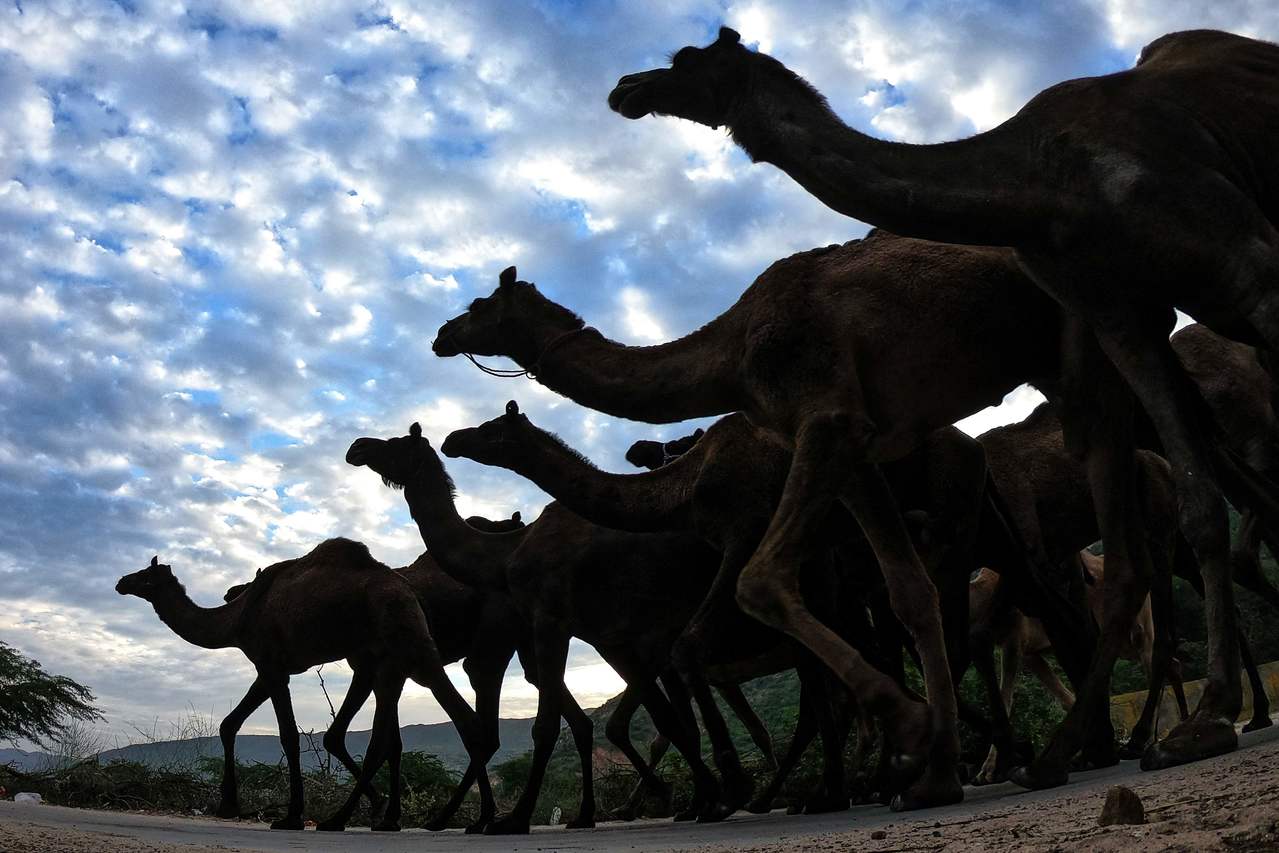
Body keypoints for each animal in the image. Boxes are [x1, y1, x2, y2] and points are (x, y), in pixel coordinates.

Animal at [115, 542, 494, 832]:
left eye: (145, 575)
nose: (120, 581)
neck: (237, 617)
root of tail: (409, 590)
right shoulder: (269, 668)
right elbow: (228, 724)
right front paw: (228, 805)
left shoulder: (271, 665)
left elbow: (288, 736)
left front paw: (292, 816)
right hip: (407, 654)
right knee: (459, 721)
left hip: (399, 644)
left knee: (397, 736)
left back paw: (345, 819)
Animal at [347, 423, 813, 832]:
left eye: (395, 443)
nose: (357, 447)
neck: (507, 552)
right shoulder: (609, 636)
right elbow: (660, 720)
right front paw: (691, 798)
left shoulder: (562, 623)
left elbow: (547, 726)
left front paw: (513, 819)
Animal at [432, 240, 1122, 806]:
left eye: (477, 303)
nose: (440, 334)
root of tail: (970, 446)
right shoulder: (846, 468)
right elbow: (876, 619)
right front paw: (911, 765)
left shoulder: (758, 509)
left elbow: (724, 626)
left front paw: (853, 763)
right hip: (992, 487)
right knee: (1032, 595)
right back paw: (1053, 751)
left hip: (970, 501)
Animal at [608, 27, 1279, 778]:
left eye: (685, 61)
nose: (626, 89)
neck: (1041, 184)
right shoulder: (1120, 312)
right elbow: (1198, 509)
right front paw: (1199, 719)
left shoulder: (1243, 262)